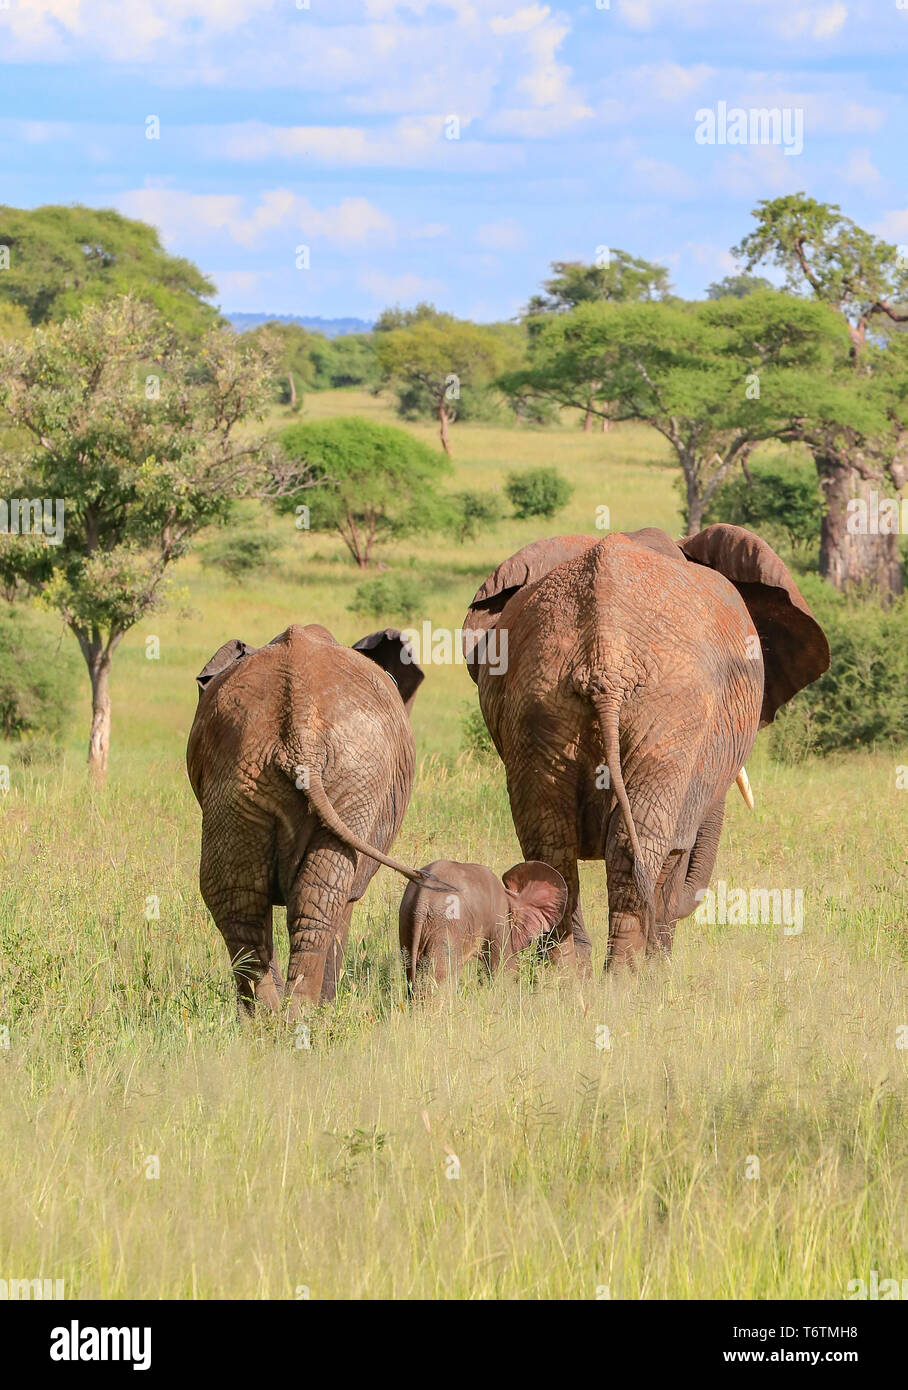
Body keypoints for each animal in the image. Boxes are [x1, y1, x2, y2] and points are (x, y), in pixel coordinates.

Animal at [186, 622, 438, 1014]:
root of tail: (299, 730)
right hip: (354, 779)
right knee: (322, 896)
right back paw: (303, 1013)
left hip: (244, 768)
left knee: (239, 898)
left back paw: (266, 1017)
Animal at [399, 859, 567, 993]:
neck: (508, 894)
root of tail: (423, 898)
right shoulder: (499, 920)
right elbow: (504, 970)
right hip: (447, 923)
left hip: (408, 917)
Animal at [461, 524, 830, 969]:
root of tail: (605, 652)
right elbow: (676, 848)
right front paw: (660, 969)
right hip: (670, 715)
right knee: (640, 846)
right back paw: (628, 977)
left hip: (538, 702)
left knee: (553, 848)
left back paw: (570, 979)